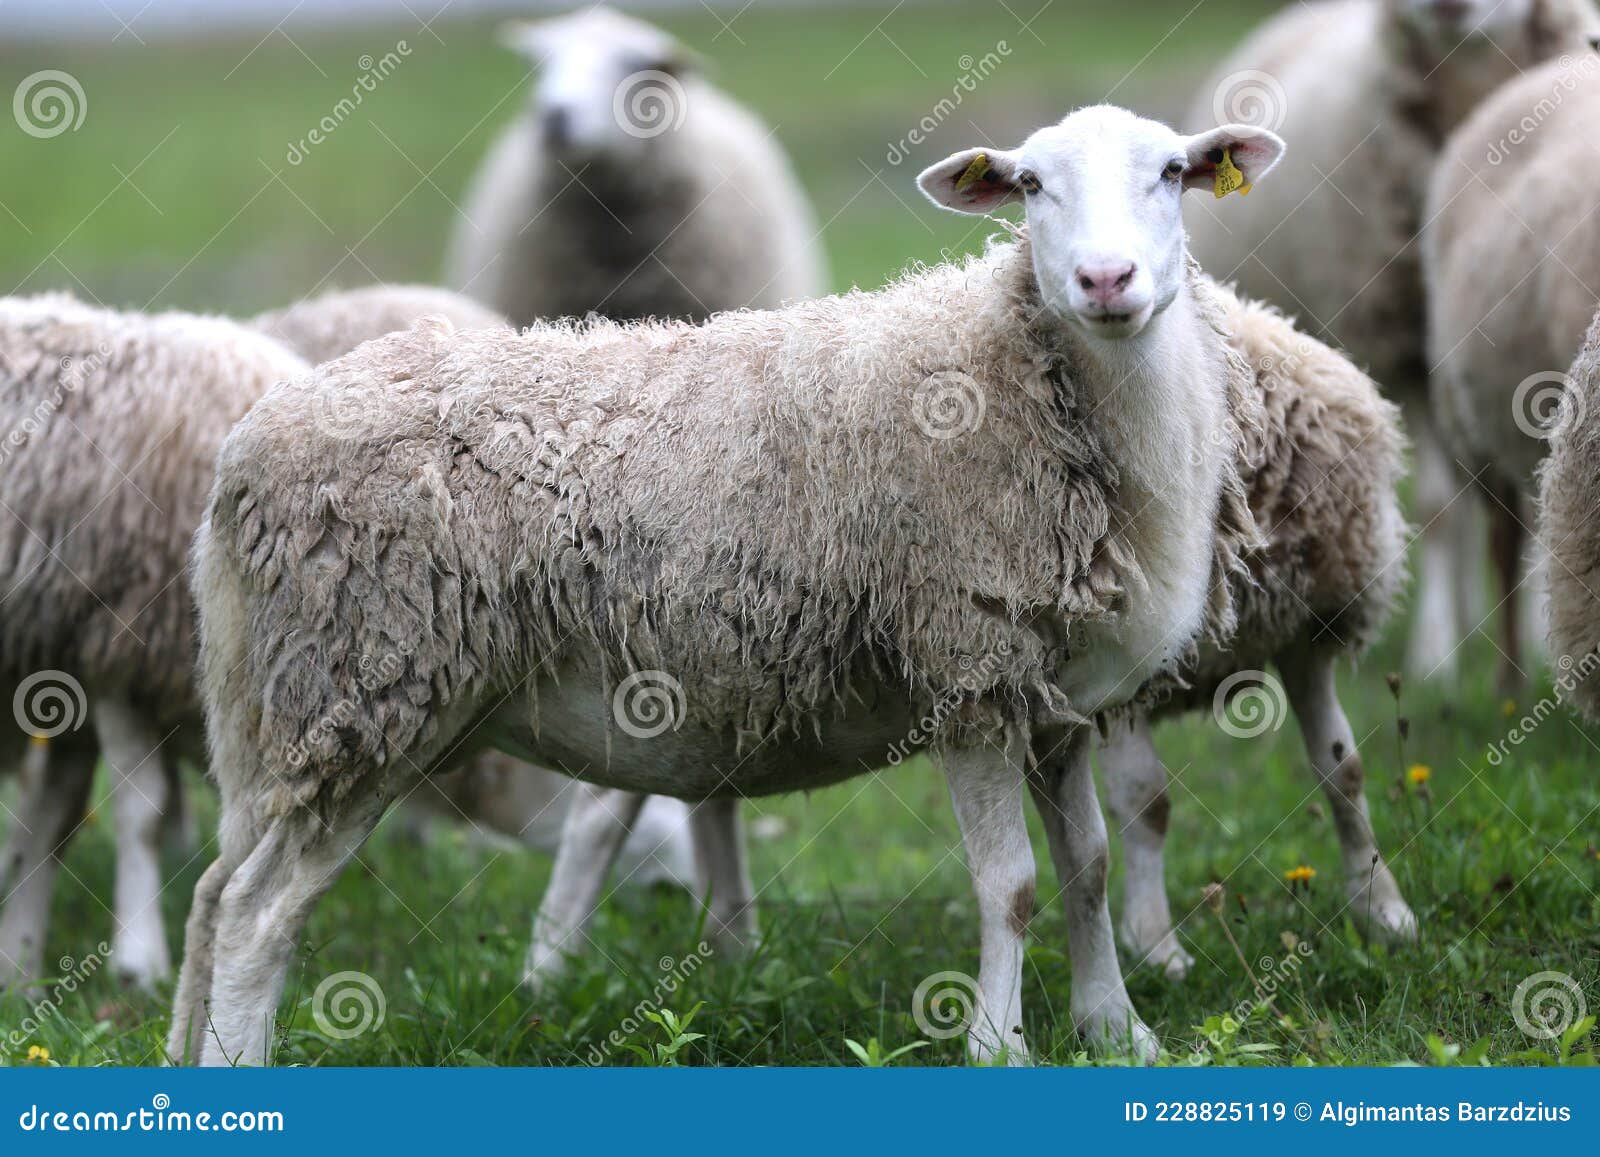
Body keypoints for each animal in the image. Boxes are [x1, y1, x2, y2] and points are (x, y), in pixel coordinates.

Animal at [168, 104, 1288, 1067]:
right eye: (1029, 185)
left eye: (1172, 172)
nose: (1106, 279)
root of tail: (240, 458)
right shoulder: (970, 666)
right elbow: (1008, 884)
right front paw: (997, 1046)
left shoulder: (1054, 693)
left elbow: (1087, 865)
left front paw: (1118, 1029)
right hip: (363, 686)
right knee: (258, 912)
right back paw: (236, 1064)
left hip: (290, 711)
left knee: (215, 893)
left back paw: (184, 1053)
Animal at [1100, 285, 1416, 981]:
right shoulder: (1118, 676)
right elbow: (1144, 803)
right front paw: (1153, 943)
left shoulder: (1303, 630)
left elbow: (1343, 769)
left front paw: (1382, 909)